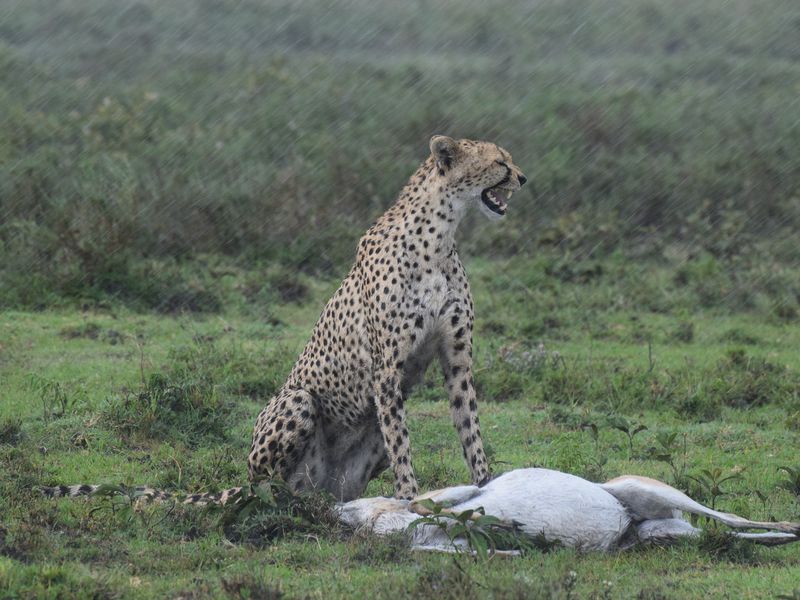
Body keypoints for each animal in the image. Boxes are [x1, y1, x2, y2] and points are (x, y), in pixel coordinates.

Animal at [247, 135, 526, 501]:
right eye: (499, 162)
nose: (523, 178)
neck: (439, 237)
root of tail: (317, 490)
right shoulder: (387, 369)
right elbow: (400, 441)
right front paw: (408, 496)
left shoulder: (457, 358)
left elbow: (469, 425)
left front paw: (484, 483)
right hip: (297, 401)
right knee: (265, 488)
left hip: (345, 478)